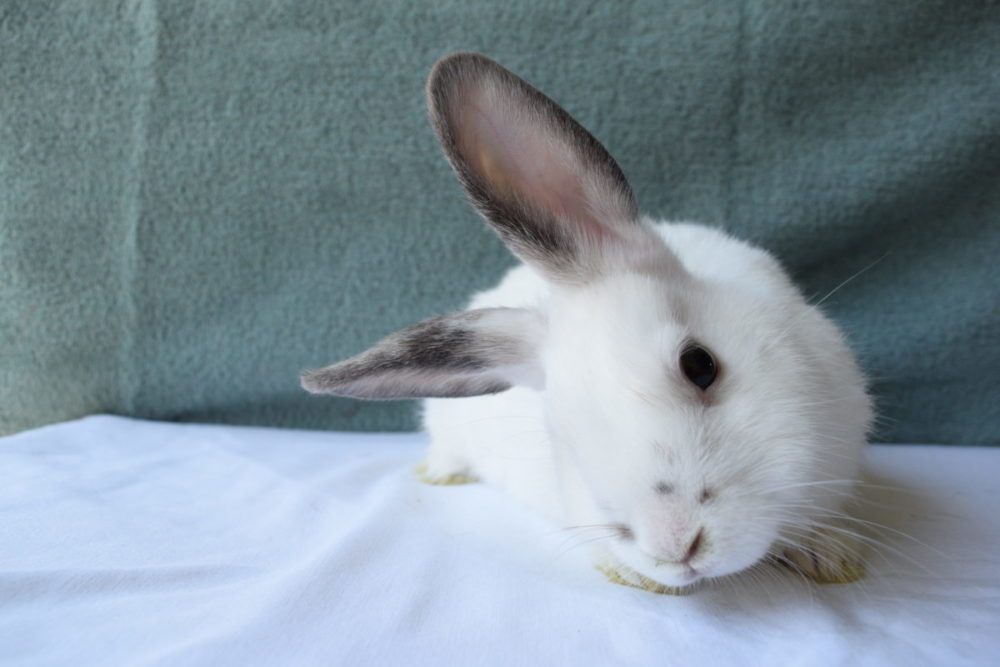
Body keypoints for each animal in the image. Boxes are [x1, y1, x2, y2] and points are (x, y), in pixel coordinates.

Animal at [302, 52, 873, 594]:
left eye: (700, 365)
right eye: (564, 434)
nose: (675, 547)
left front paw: (832, 556)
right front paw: (632, 575)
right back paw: (438, 474)